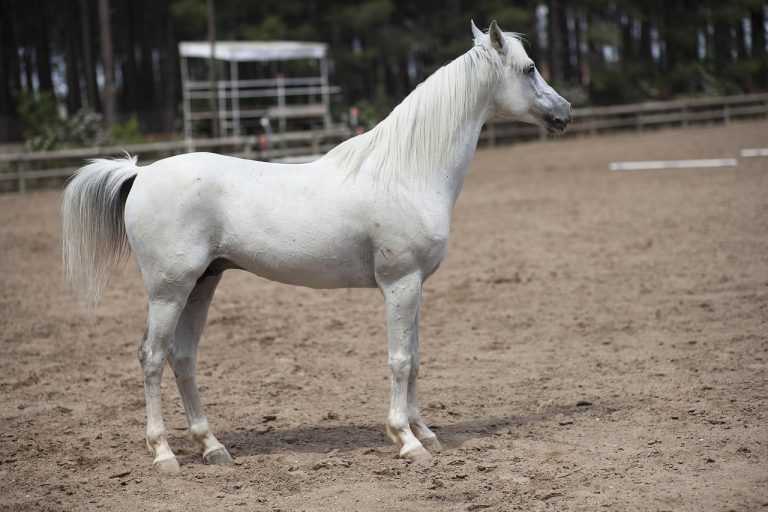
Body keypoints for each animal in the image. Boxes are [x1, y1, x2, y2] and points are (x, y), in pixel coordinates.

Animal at [61, 21, 571, 473]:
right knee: (152, 358)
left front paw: (425, 433)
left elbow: (416, 359)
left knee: (182, 358)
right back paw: (164, 454)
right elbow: (400, 360)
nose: (565, 113)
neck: (406, 171)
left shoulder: (415, 287)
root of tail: (141, 173)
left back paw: (212, 447)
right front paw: (406, 441)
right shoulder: (400, 284)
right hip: (169, 291)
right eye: (529, 68)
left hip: (201, 285)